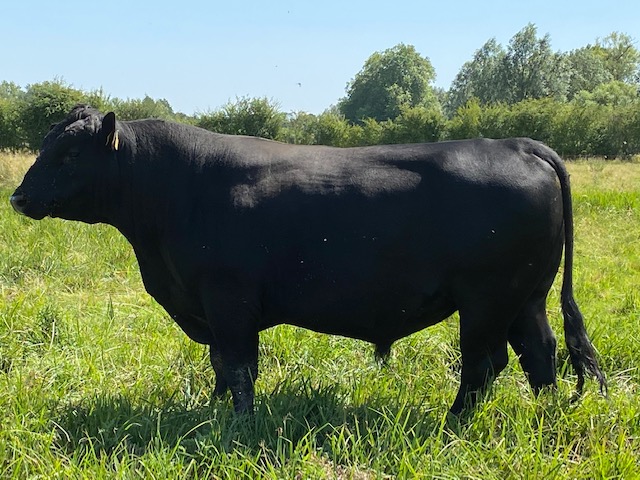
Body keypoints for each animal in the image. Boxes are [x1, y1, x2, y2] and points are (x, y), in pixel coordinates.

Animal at [10, 105, 606, 415]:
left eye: (70, 153)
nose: (17, 197)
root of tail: (517, 144)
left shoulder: (227, 299)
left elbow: (238, 364)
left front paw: (238, 424)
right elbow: (221, 366)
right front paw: (212, 413)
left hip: (486, 299)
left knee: (484, 364)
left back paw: (453, 422)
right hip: (525, 297)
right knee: (539, 353)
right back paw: (543, 417)